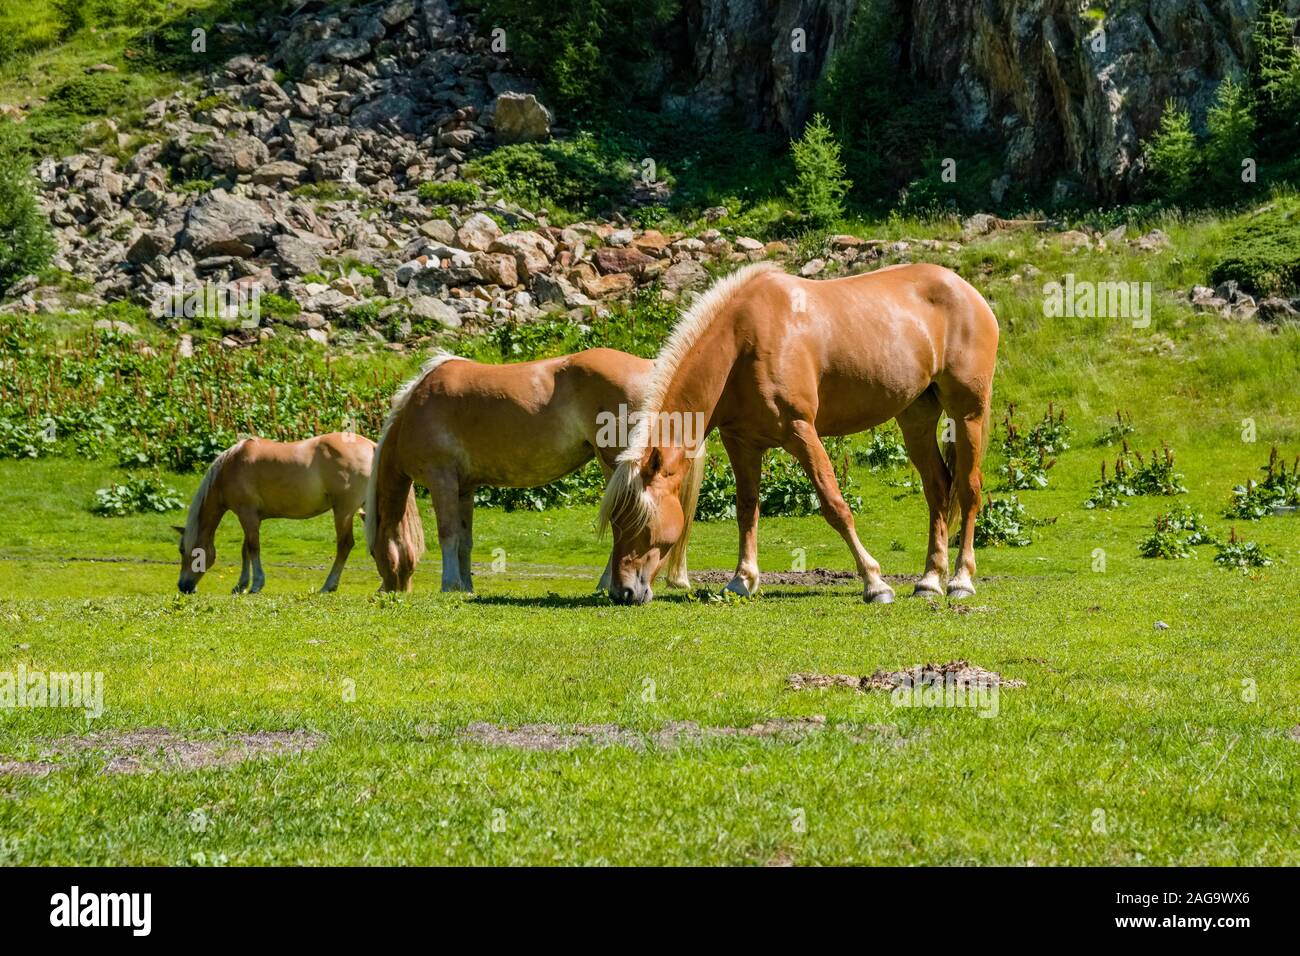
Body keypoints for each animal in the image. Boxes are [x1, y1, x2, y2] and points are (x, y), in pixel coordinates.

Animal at [175, 432, 410, 593]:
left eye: (182, 550)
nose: (183, 586)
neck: (231, 466)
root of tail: (370, 446)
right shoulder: (251, 517)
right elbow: (245, 550)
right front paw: (240, 585)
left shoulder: (247, 514)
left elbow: (253, 548)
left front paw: (256, 584)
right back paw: (384, 586)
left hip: (343, 511)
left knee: (345, 545)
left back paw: (329, 585)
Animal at [365, 348, 696, 593]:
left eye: (373, 552)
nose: (388, 591)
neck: (415, 410)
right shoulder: (464, 488)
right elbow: (464, 538)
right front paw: (465, 587)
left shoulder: (441, 479)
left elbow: (448, 534)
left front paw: (449, 585)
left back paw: (605, 585)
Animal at [598, 261, 999, 606]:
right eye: (614, 521)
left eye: (638, 520)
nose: (622, 592)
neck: (742, 345)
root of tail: (967, 290)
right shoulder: (741, 443)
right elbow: (747, 509)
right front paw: (741, 581)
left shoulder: (801, 433)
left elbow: (835, 505)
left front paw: (875, 583)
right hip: (916, 418)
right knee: (938, 489)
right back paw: (929, 581)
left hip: (967, 414)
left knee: (968, 490)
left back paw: (960, 580)